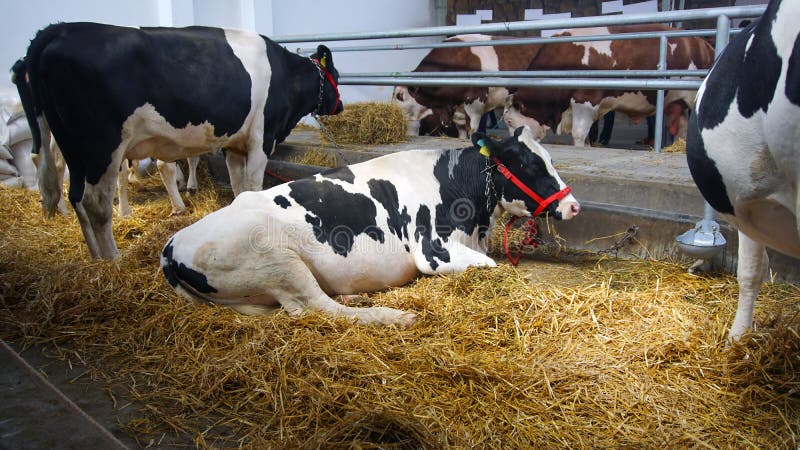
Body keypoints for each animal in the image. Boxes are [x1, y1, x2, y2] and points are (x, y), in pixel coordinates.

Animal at [12, 22, 343, 259]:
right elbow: (253, 184)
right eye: (337, 76)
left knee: (74, 194)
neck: (287, 75)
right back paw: (114, 261)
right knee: (96, 203)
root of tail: (60, 29)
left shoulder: (234, 144)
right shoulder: (262, 138)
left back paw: (96, 259)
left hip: (72, 149)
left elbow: (239, 187)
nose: (339, 106)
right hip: (100, 148)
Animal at [160, 126, 581, 326]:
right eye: (529, 164)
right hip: (276, 261)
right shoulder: (433, 250)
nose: (573, 206)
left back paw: (356, 297)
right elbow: (489, 265)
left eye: (549, 158)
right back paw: (392, 316)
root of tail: (170, 248)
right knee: (314, 306)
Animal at [503, 25, 716, 147]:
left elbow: (579, 135)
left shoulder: (585, 101)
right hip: (677, 103)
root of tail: (702, 43)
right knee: (682, 131)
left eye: (510, 121)